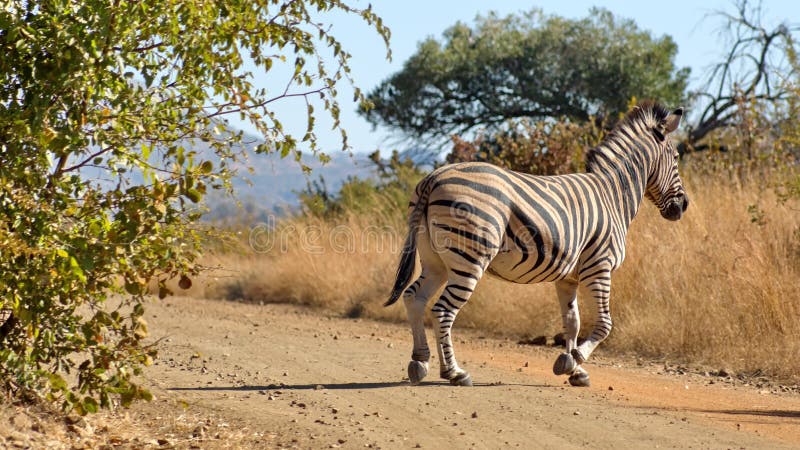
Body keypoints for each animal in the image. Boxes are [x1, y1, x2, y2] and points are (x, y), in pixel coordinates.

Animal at [385, 101, 688, 387]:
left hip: (435, 260)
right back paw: (454, 372)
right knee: (442, 310)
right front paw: (575, 359)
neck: (612, 195)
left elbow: (572, 323)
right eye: (675, 158)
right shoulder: (600, 266)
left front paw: (573, 368)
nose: (683, 206)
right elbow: (604, 324)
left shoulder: (568, 278)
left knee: (414, 297)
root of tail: (433, 177)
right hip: (469, 258)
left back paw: (420, 362)